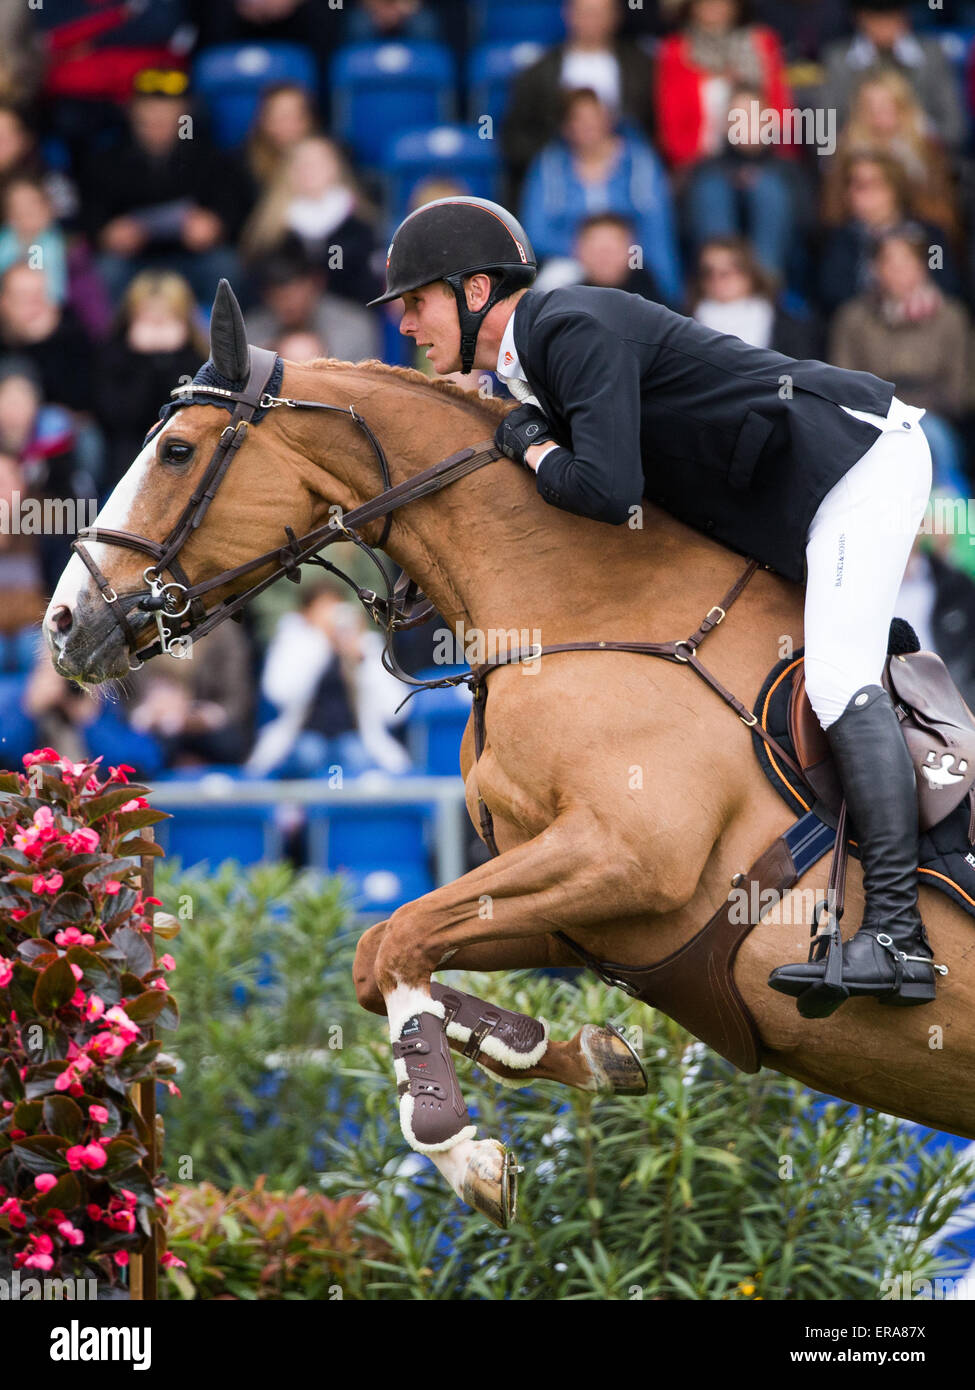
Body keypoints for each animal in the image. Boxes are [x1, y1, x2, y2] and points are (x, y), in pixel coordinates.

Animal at [44, 284, 975, 1228]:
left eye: (177, 451)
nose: (63, 626)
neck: (580, 614)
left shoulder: (626, 859)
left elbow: (400, 942)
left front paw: (453, 1140)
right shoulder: (587, 914)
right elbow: (380, 952)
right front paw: (567, 1052)